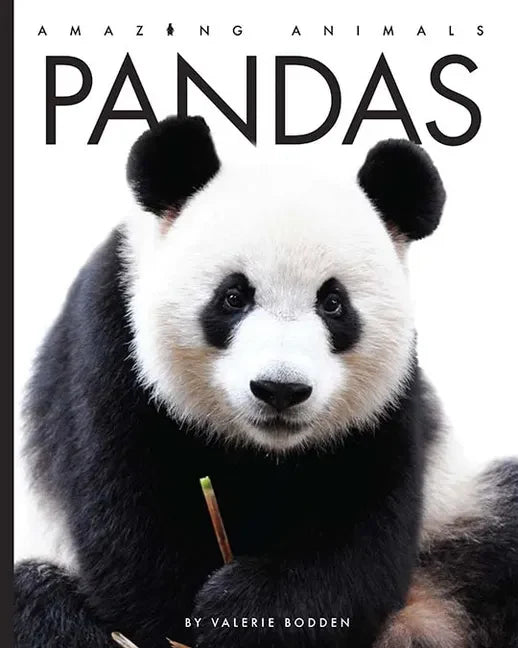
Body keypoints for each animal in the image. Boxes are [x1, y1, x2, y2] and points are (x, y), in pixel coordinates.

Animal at [14, 115, 518, 648]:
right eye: (233, 296)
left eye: (333, 303)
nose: (281, 389)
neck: (263, 450)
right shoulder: (108, 354)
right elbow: (134, 547)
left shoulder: (387, 407)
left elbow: (361, 541)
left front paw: (245, 609)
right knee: (37, 603)